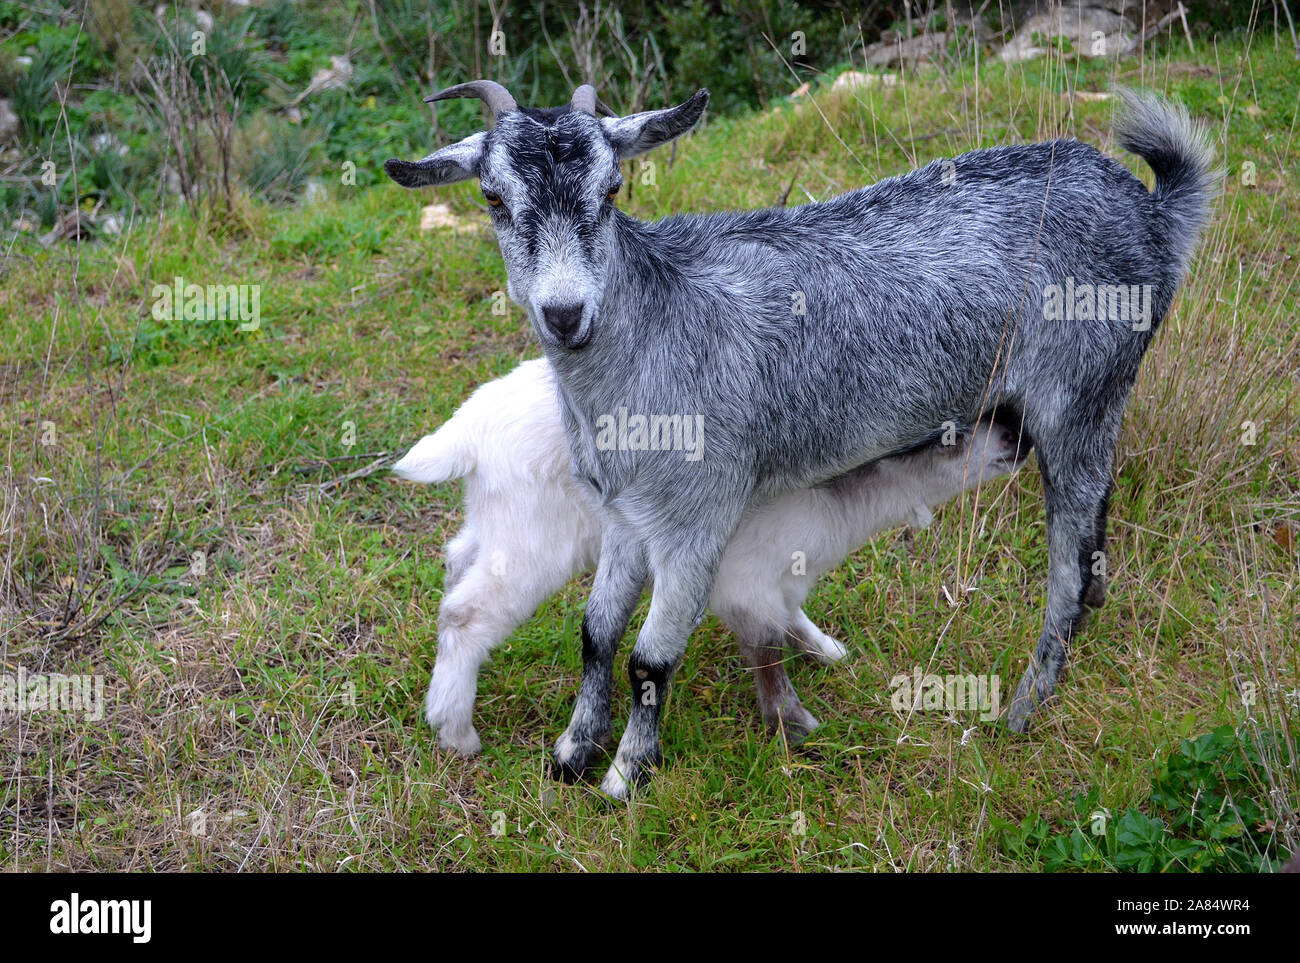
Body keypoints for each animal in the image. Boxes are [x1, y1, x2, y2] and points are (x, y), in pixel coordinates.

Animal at [392, 358, 1026, 756]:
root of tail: (468, 430)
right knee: (465, 615)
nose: (1018, 435)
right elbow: (765, 645)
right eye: (950, 434)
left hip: (495, 526)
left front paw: (824, 649)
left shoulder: (780, 578)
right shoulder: (742, 580)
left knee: (456, 562)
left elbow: (791, 618)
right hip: (533, 545)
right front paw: (794, 723)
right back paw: (457, 733)